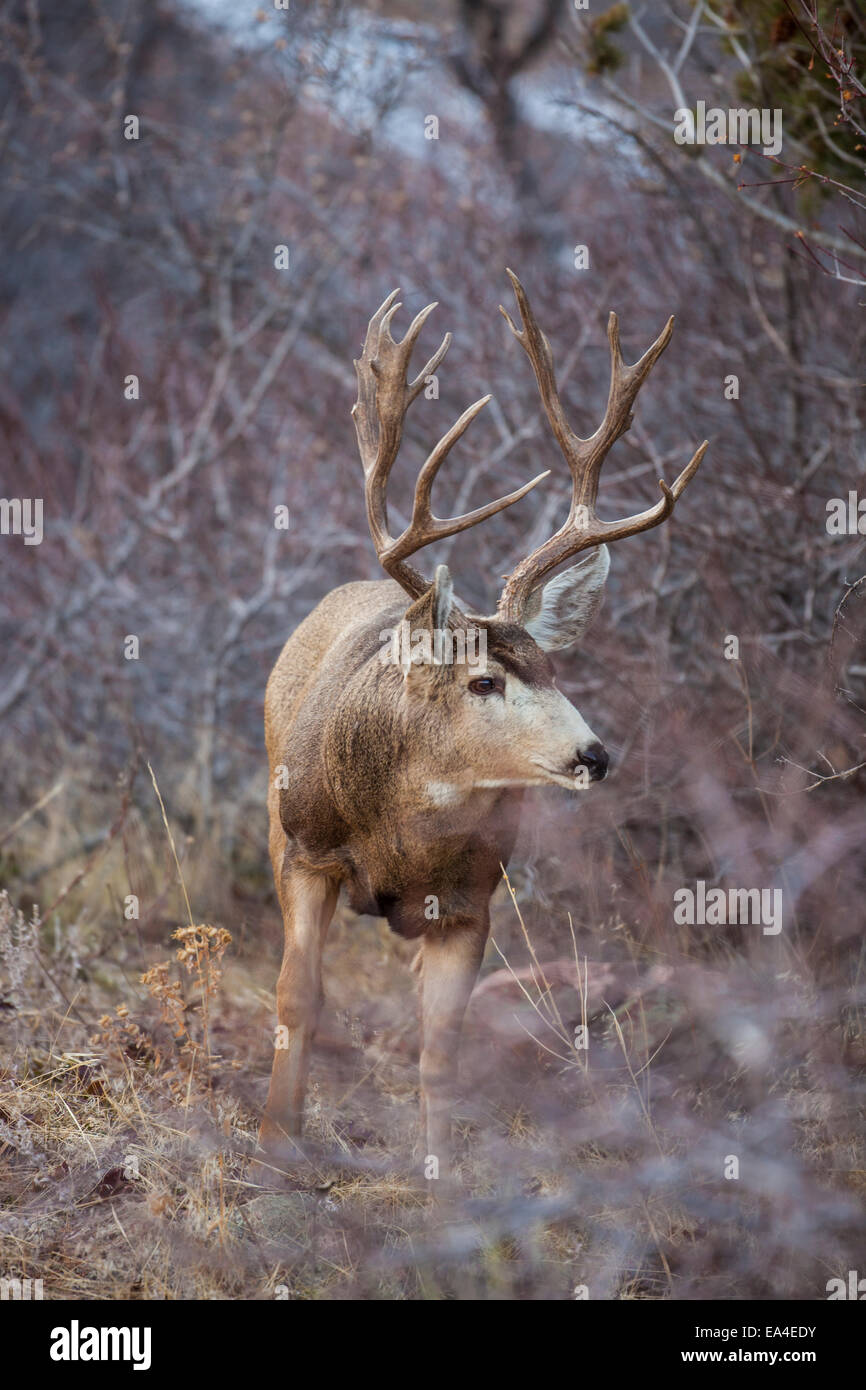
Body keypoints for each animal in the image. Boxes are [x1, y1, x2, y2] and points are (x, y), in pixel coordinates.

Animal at [257, 270, 707, 1182]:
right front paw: (276, 1144)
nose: (594, 754)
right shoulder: (306, 849)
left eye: (556, 672)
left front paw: (442, 1178)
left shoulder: (470, 899)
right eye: (485, 680)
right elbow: (297, 997)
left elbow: (441, 1046)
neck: (397, 833)